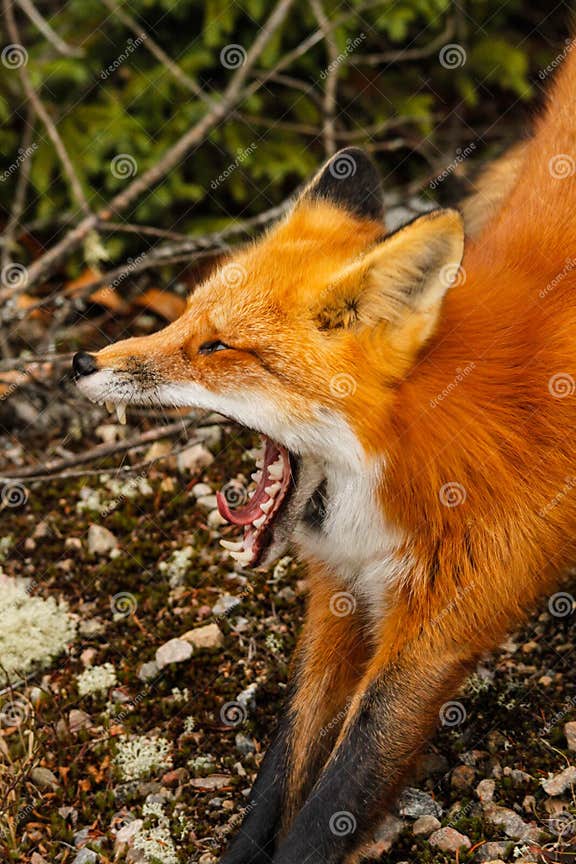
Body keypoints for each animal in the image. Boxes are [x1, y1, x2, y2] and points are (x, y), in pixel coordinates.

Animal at [73, 41, 576, 864]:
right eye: (182, 318)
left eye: (218, 348)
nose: (81, 361)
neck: (409, 466)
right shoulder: (339, 597)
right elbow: (285, 762)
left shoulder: (442, 625)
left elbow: (340, 789)